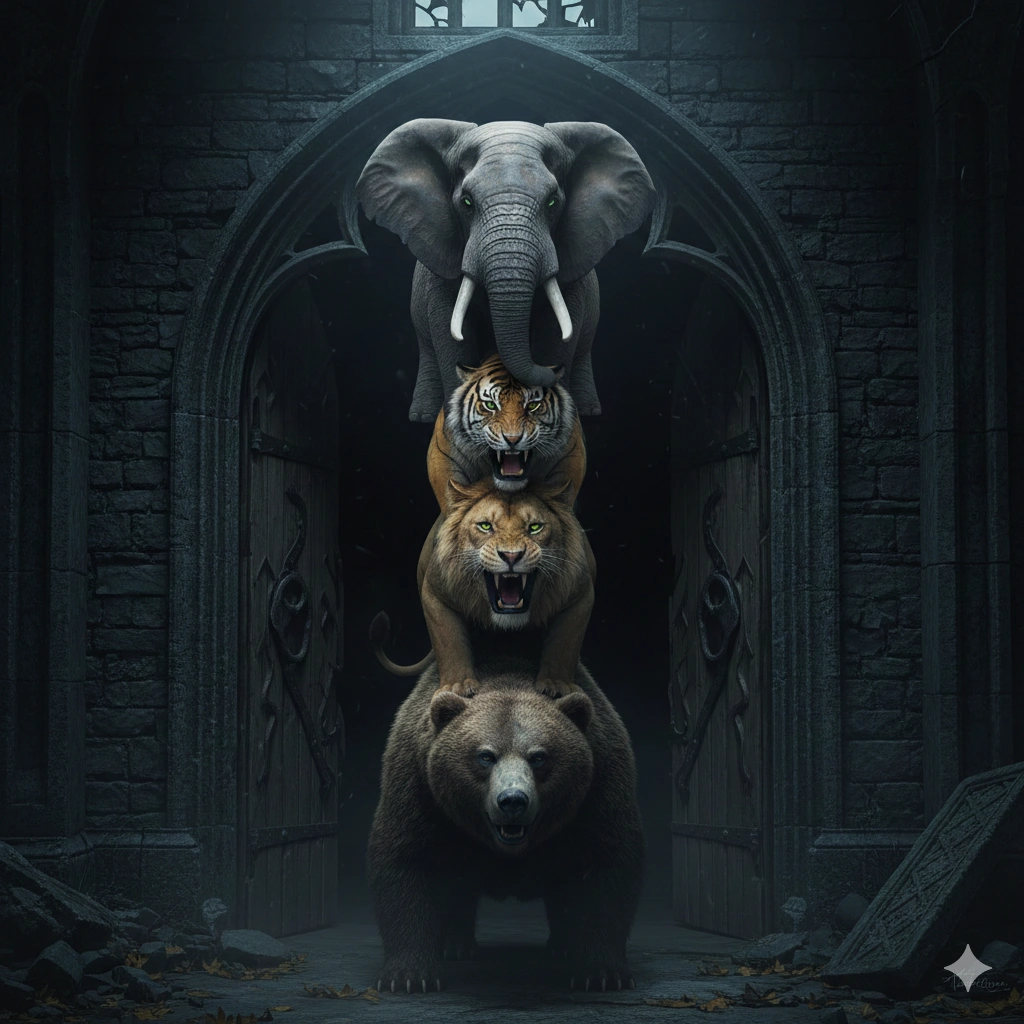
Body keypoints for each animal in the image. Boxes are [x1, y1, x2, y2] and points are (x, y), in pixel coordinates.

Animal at [355, 119, 656, 422]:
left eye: (552, 202)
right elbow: (453, 339)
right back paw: (422, 418)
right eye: (466, 202)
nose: (549, 373)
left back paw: (589, 413)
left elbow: (556, 336)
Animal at [368, 652, 644, 994]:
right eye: (486, 756)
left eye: (538, 757)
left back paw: (564, 945)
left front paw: (602, 972)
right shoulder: (421, 789)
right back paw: (456, 945)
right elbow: (405, 862)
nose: (512, 800)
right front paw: (407, 975)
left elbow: (607, 867)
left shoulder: (597, 789)